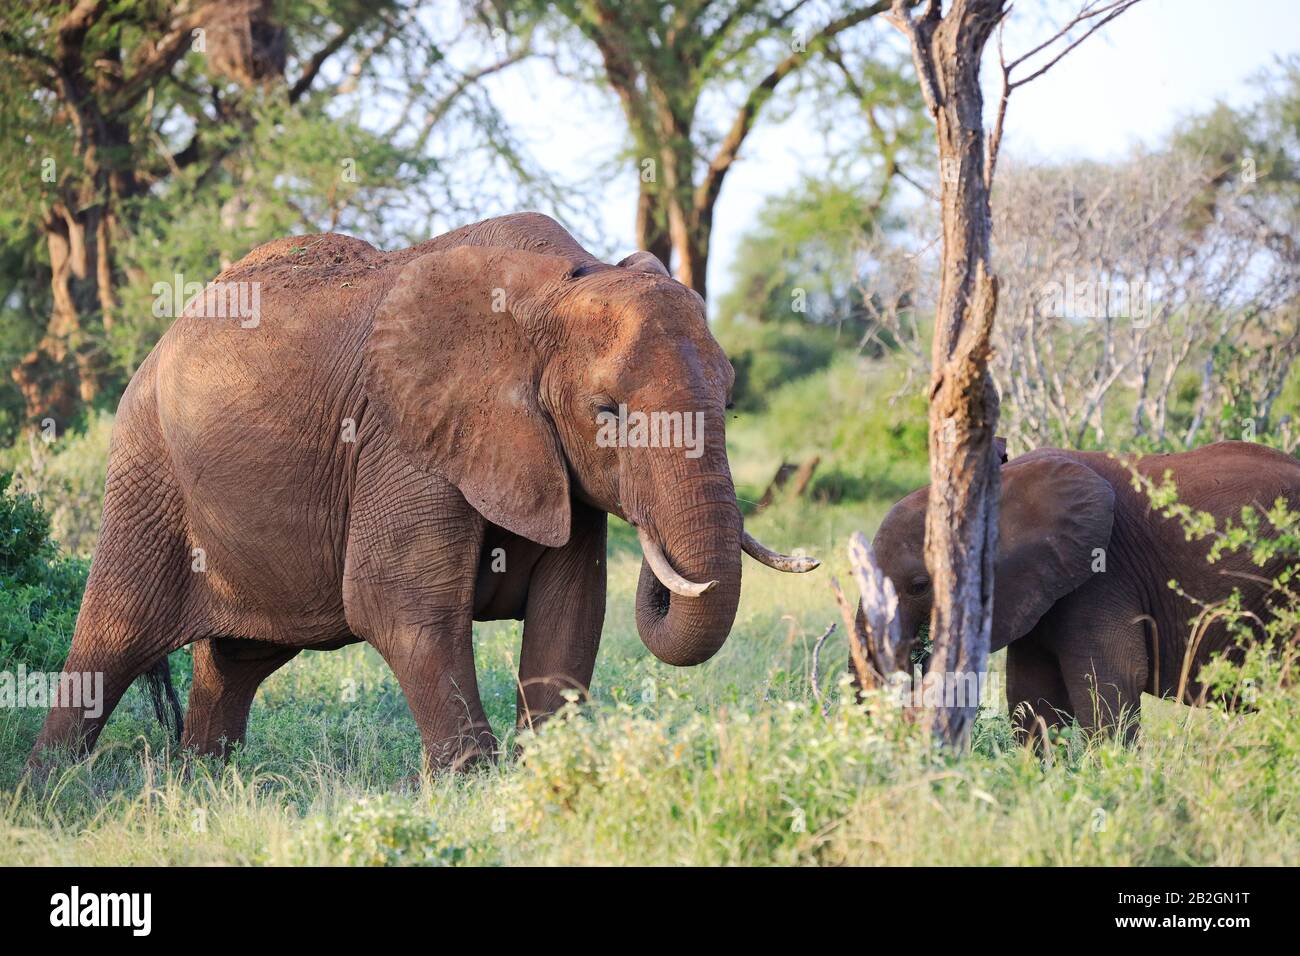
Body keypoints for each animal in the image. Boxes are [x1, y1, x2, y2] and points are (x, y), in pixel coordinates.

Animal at [30, 212, 818, 772]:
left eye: (730, 401)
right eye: (607, 412)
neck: (556, 285)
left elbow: (572, 610)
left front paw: (551, 770)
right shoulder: (405, 437)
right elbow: (399, 603)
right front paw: (475, 782)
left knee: (235, 662)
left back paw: (205, 783)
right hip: (146, 467)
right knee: (112, 637)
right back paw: (54, 790)